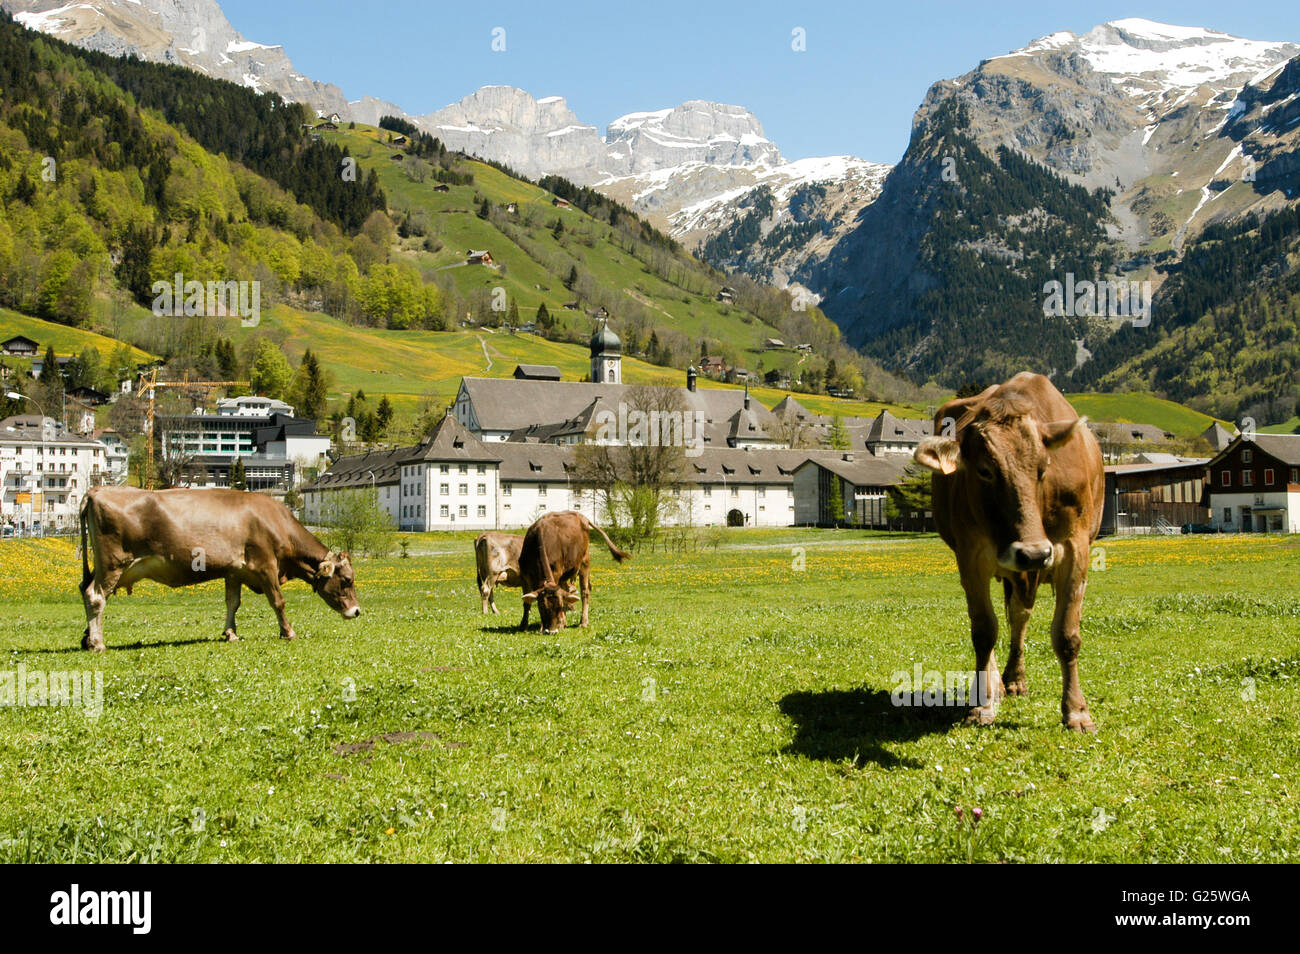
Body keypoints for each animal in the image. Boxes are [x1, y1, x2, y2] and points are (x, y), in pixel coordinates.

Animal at [79, 486, 360, 651]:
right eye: (347, 580)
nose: (357, 611)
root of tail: (97, 490)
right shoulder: (265, 564)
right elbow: (278, 601)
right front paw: (289, 632)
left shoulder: (234, 570)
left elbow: (232, 602)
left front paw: (230, 633)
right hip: (113, 564)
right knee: (96, 596)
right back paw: (98, 643)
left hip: (104, 566)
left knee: (85, 589)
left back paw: (87, 637)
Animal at [913, 372, 1105, 732]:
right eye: (984, 470)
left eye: (1043, 468)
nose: (1033, 553)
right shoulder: (971, 556)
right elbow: (983, 631)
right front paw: (982, 704)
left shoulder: (1075, 549)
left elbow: (1067, 635)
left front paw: (1077, 712)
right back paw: (997, 686)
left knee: (1019, 616)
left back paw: (1015, 679)